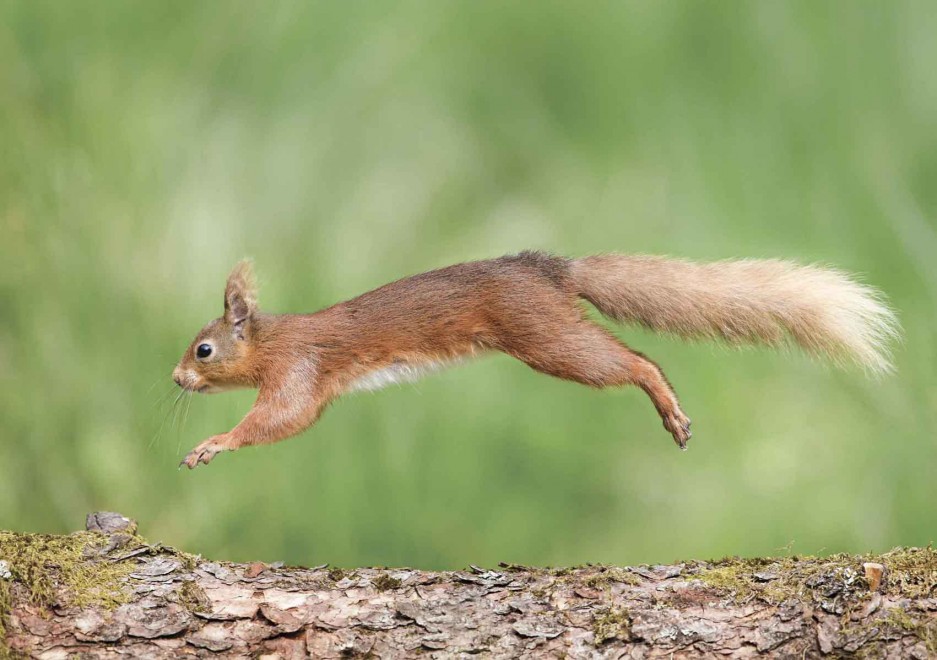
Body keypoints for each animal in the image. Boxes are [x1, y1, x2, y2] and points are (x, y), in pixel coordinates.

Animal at [173, 251, 898, 469]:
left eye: (203, 349)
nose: (175, 377)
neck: (273, 338)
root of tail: (552, 269)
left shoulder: (299, 371)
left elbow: (282, 418)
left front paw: (212, 444)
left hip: (546, 339)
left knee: (635, 362)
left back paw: (670, 409)